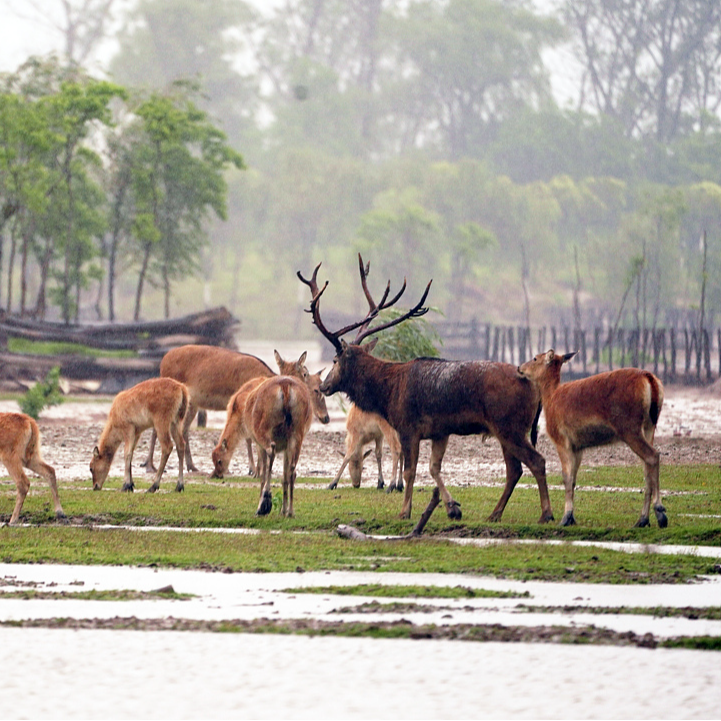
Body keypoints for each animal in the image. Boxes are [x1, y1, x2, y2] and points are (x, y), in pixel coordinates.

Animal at [142, 345, 329, 476]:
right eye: (305, 375)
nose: (326, 417)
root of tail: (162, 362)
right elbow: (248, 438)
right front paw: (253, 469)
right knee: (159, 428)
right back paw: (150, 466)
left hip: (191, 403)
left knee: (183, 430)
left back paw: (191, 466)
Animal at [213, 375, 312, 517]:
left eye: (219, 461)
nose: (217, 475)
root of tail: (285, 386)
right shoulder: (285, 446)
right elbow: (284, 475)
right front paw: (283, 510)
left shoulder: (257, 442)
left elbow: (261, 471)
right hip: (297, 434)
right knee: (292, 470)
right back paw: (290, 512)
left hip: (264, 430)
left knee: (271, 450)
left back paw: (264, 503)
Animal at [298, 255, 553, 524]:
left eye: (335, 360)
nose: (324, 385)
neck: (388, 392)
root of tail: (535, 387)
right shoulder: (440, 431)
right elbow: (433, 468)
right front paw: (452, 507)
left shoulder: (408, 427)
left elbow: (411, 471)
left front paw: (404, 511)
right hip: (507, 429)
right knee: (515, 470)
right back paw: (495, 513)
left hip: (508, 425)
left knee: (535, 461)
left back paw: (546, 513)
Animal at [519, 349, 667, 528]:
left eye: (535, 358)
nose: (520, 367)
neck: (550, 399)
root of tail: (650, 379)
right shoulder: (578, 446)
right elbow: (574, 479)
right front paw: (572, 518)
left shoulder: (561, 439)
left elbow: (566, 477)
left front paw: (565, 518)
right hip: (650, 425)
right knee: (647, 466)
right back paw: (642, 519)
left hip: (629, 427)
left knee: (653, 455)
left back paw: (660, 512)